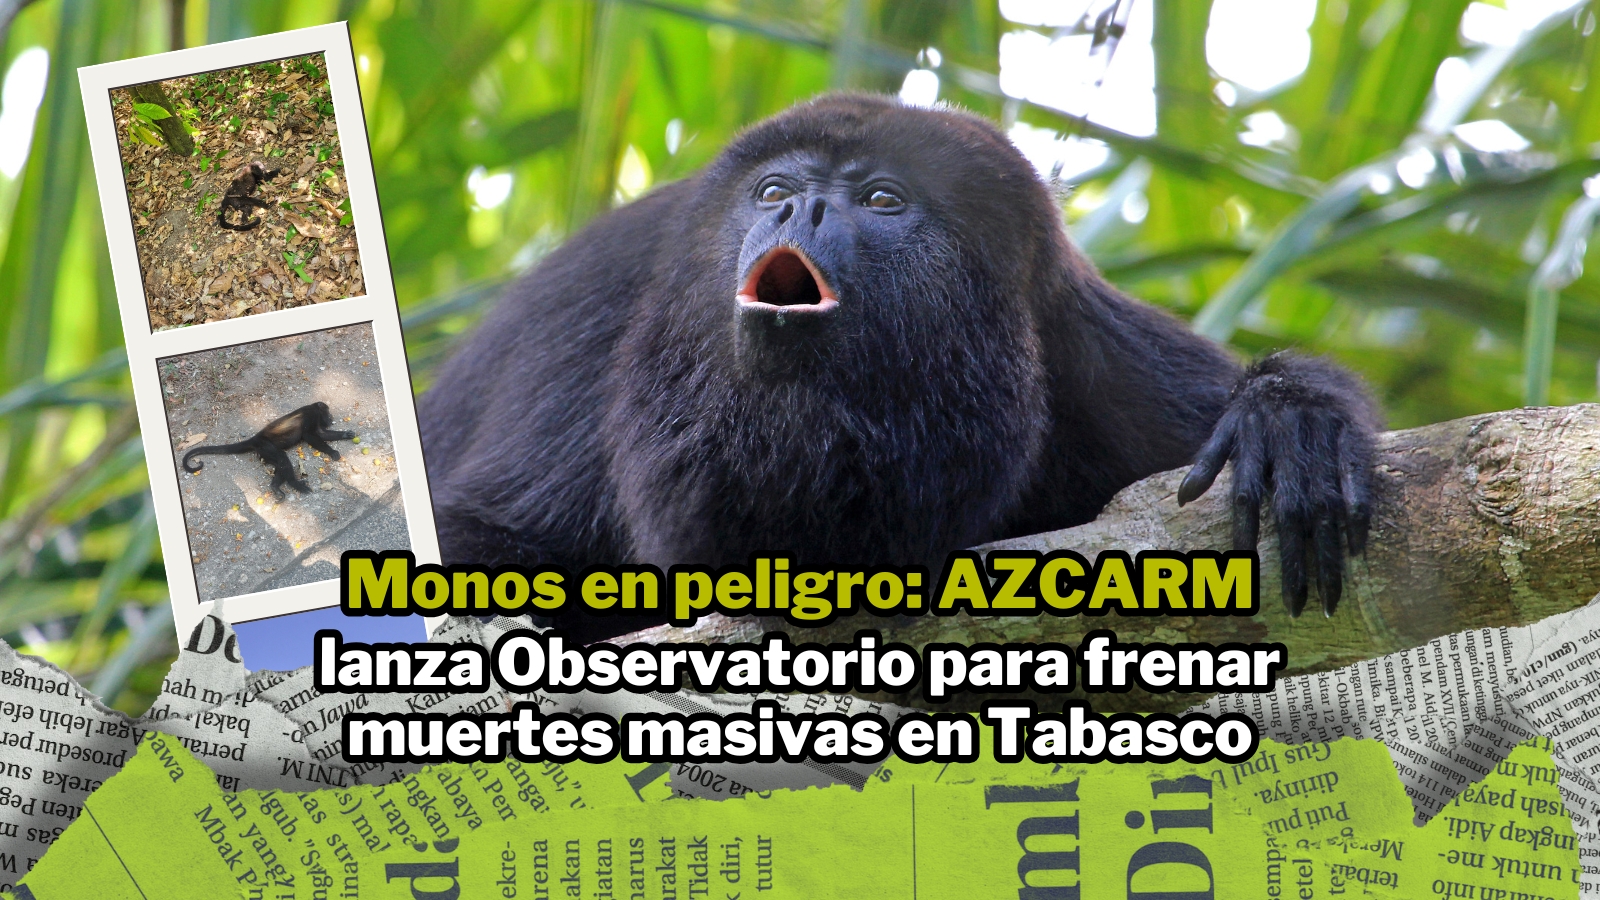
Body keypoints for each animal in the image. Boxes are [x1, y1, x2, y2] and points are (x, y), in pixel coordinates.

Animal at [181, 401, 355, 499]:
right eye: (328, 412)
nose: (331, 418)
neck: (315, 409)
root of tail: (255, 439)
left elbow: (322, 434)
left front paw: (346, 434)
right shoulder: (310, 415)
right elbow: (310, 436)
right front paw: (332, 452)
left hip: (265, 453)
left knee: (280, 464)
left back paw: (275, 487)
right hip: (266, 446)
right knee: (283, 457)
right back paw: (295, 484)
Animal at [419, 94, 1380, 642]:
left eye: (882, 198)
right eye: (773, 191)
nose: (799, 209)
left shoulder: (1089, 351)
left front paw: (1289, 418)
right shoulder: (600, 309)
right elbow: (489, 537)